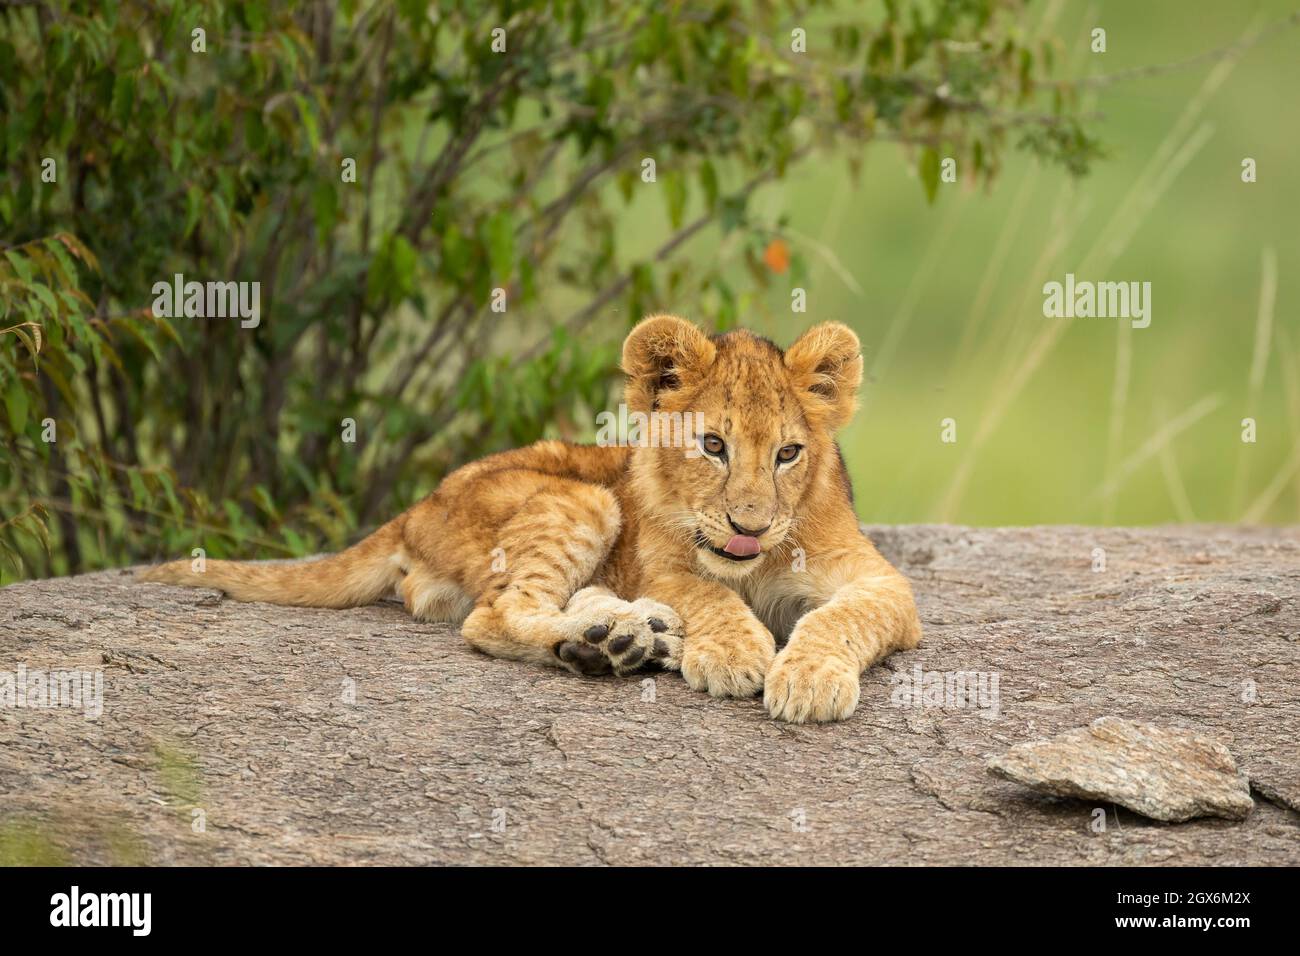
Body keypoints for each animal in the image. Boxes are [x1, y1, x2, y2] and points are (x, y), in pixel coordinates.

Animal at [138, 314, 922, 722]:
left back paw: (627, 635)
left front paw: (810, 679)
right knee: (495, 616)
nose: (750, 528)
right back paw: (609, 643)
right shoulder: (660, 563)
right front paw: (732, 652)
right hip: (585, 499)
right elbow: (709, 594)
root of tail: (415, 508)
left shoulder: (884, 585)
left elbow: (840, 616)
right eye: (712, 445)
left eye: (789, 453)